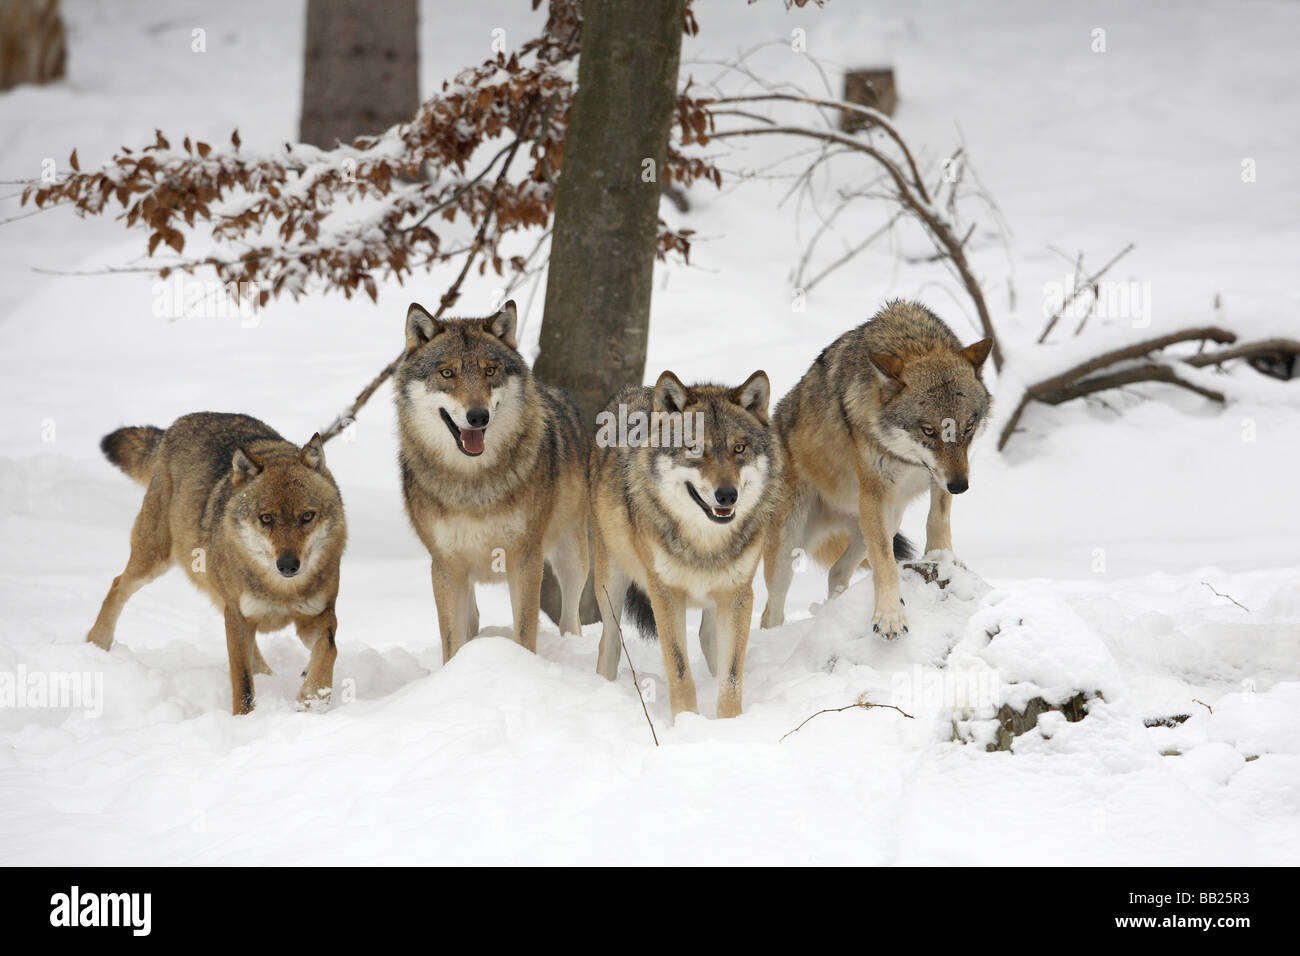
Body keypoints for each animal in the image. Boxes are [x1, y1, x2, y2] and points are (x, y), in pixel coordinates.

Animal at [87, 413, 347, 715]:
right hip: (154, 560)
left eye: (307, 516)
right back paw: (96, 643)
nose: (288, 565)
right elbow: (242, 682)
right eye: (266, 518)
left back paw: (270, 676)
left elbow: (329, 650)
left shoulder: (318, 614)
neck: (280, 590)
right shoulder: (236, 616)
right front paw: (244, 720)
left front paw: (312, 700)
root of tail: (177, 424)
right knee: (118, 584)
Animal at [395, 299, 589, 662]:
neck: (473, 482)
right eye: (447, 373)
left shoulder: (525, 558)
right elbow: (451, 639)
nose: (478, 416)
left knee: (571, 617)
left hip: (572, 558)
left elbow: (525, 632)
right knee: (473, 618)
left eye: (489, 371)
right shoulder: (445, 565)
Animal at [590, 370, 784, 719]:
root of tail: (632, 391)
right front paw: (686, 721)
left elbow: (732, 674)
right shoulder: (665, 593)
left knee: (708, 640)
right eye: (694, 448)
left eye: (739, 448)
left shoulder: (738, 594)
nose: (727, 495)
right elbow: (679, 669)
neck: (704, 543)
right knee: (609, 643)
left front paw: (730, 722)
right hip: (610, 581)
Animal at [761, 300, 992, 640]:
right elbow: (885, 563)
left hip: (883, 521)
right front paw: (890, 616)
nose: (961, 487)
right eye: (928, 430)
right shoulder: (875, 493)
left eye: (967, 428)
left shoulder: (941, 476)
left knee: (836, 572)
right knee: (771, 609)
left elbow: (938, 519)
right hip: (788, 548)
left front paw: (941, 558)